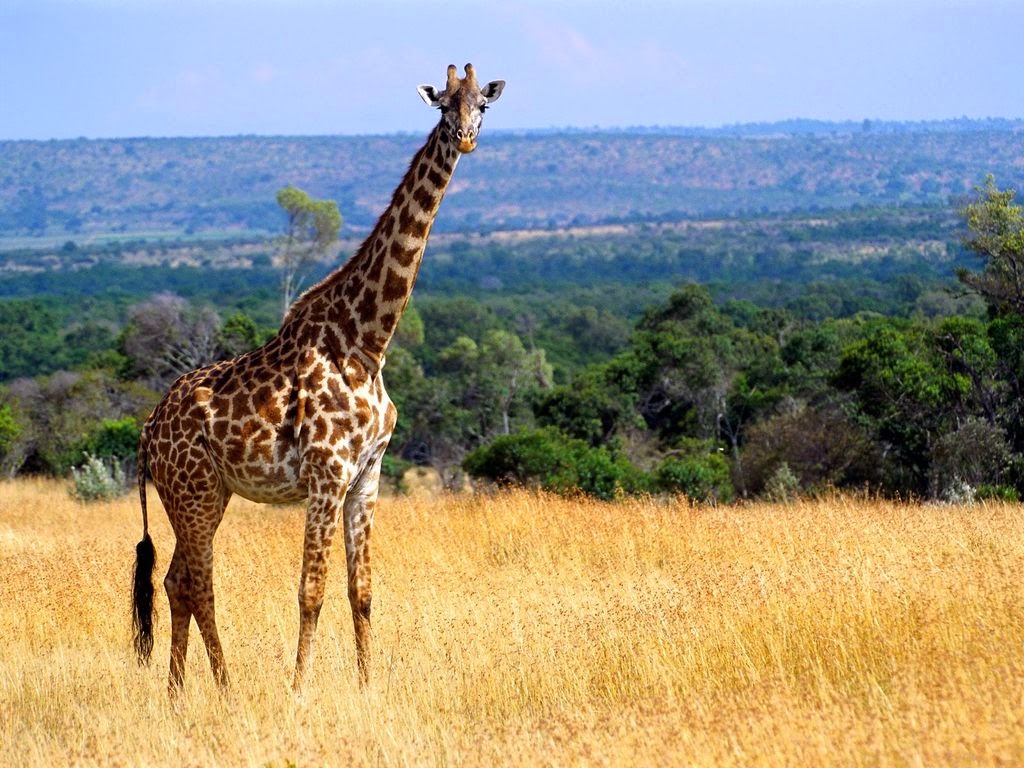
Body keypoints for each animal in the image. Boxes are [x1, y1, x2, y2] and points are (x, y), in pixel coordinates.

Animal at [130, 63, 505, 693]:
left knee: (176, 580)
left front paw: (366, 685)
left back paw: (180, 692)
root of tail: (147, 431)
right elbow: (311, 591)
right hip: (194, 491)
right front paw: (298, 689)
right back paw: (225, 689)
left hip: (207, 493)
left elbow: (362, 592)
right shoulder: (327, 475)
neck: (368, 343)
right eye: (441, 105)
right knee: (197, 582)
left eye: (482, 104)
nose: (465, 138)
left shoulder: (367, 476)